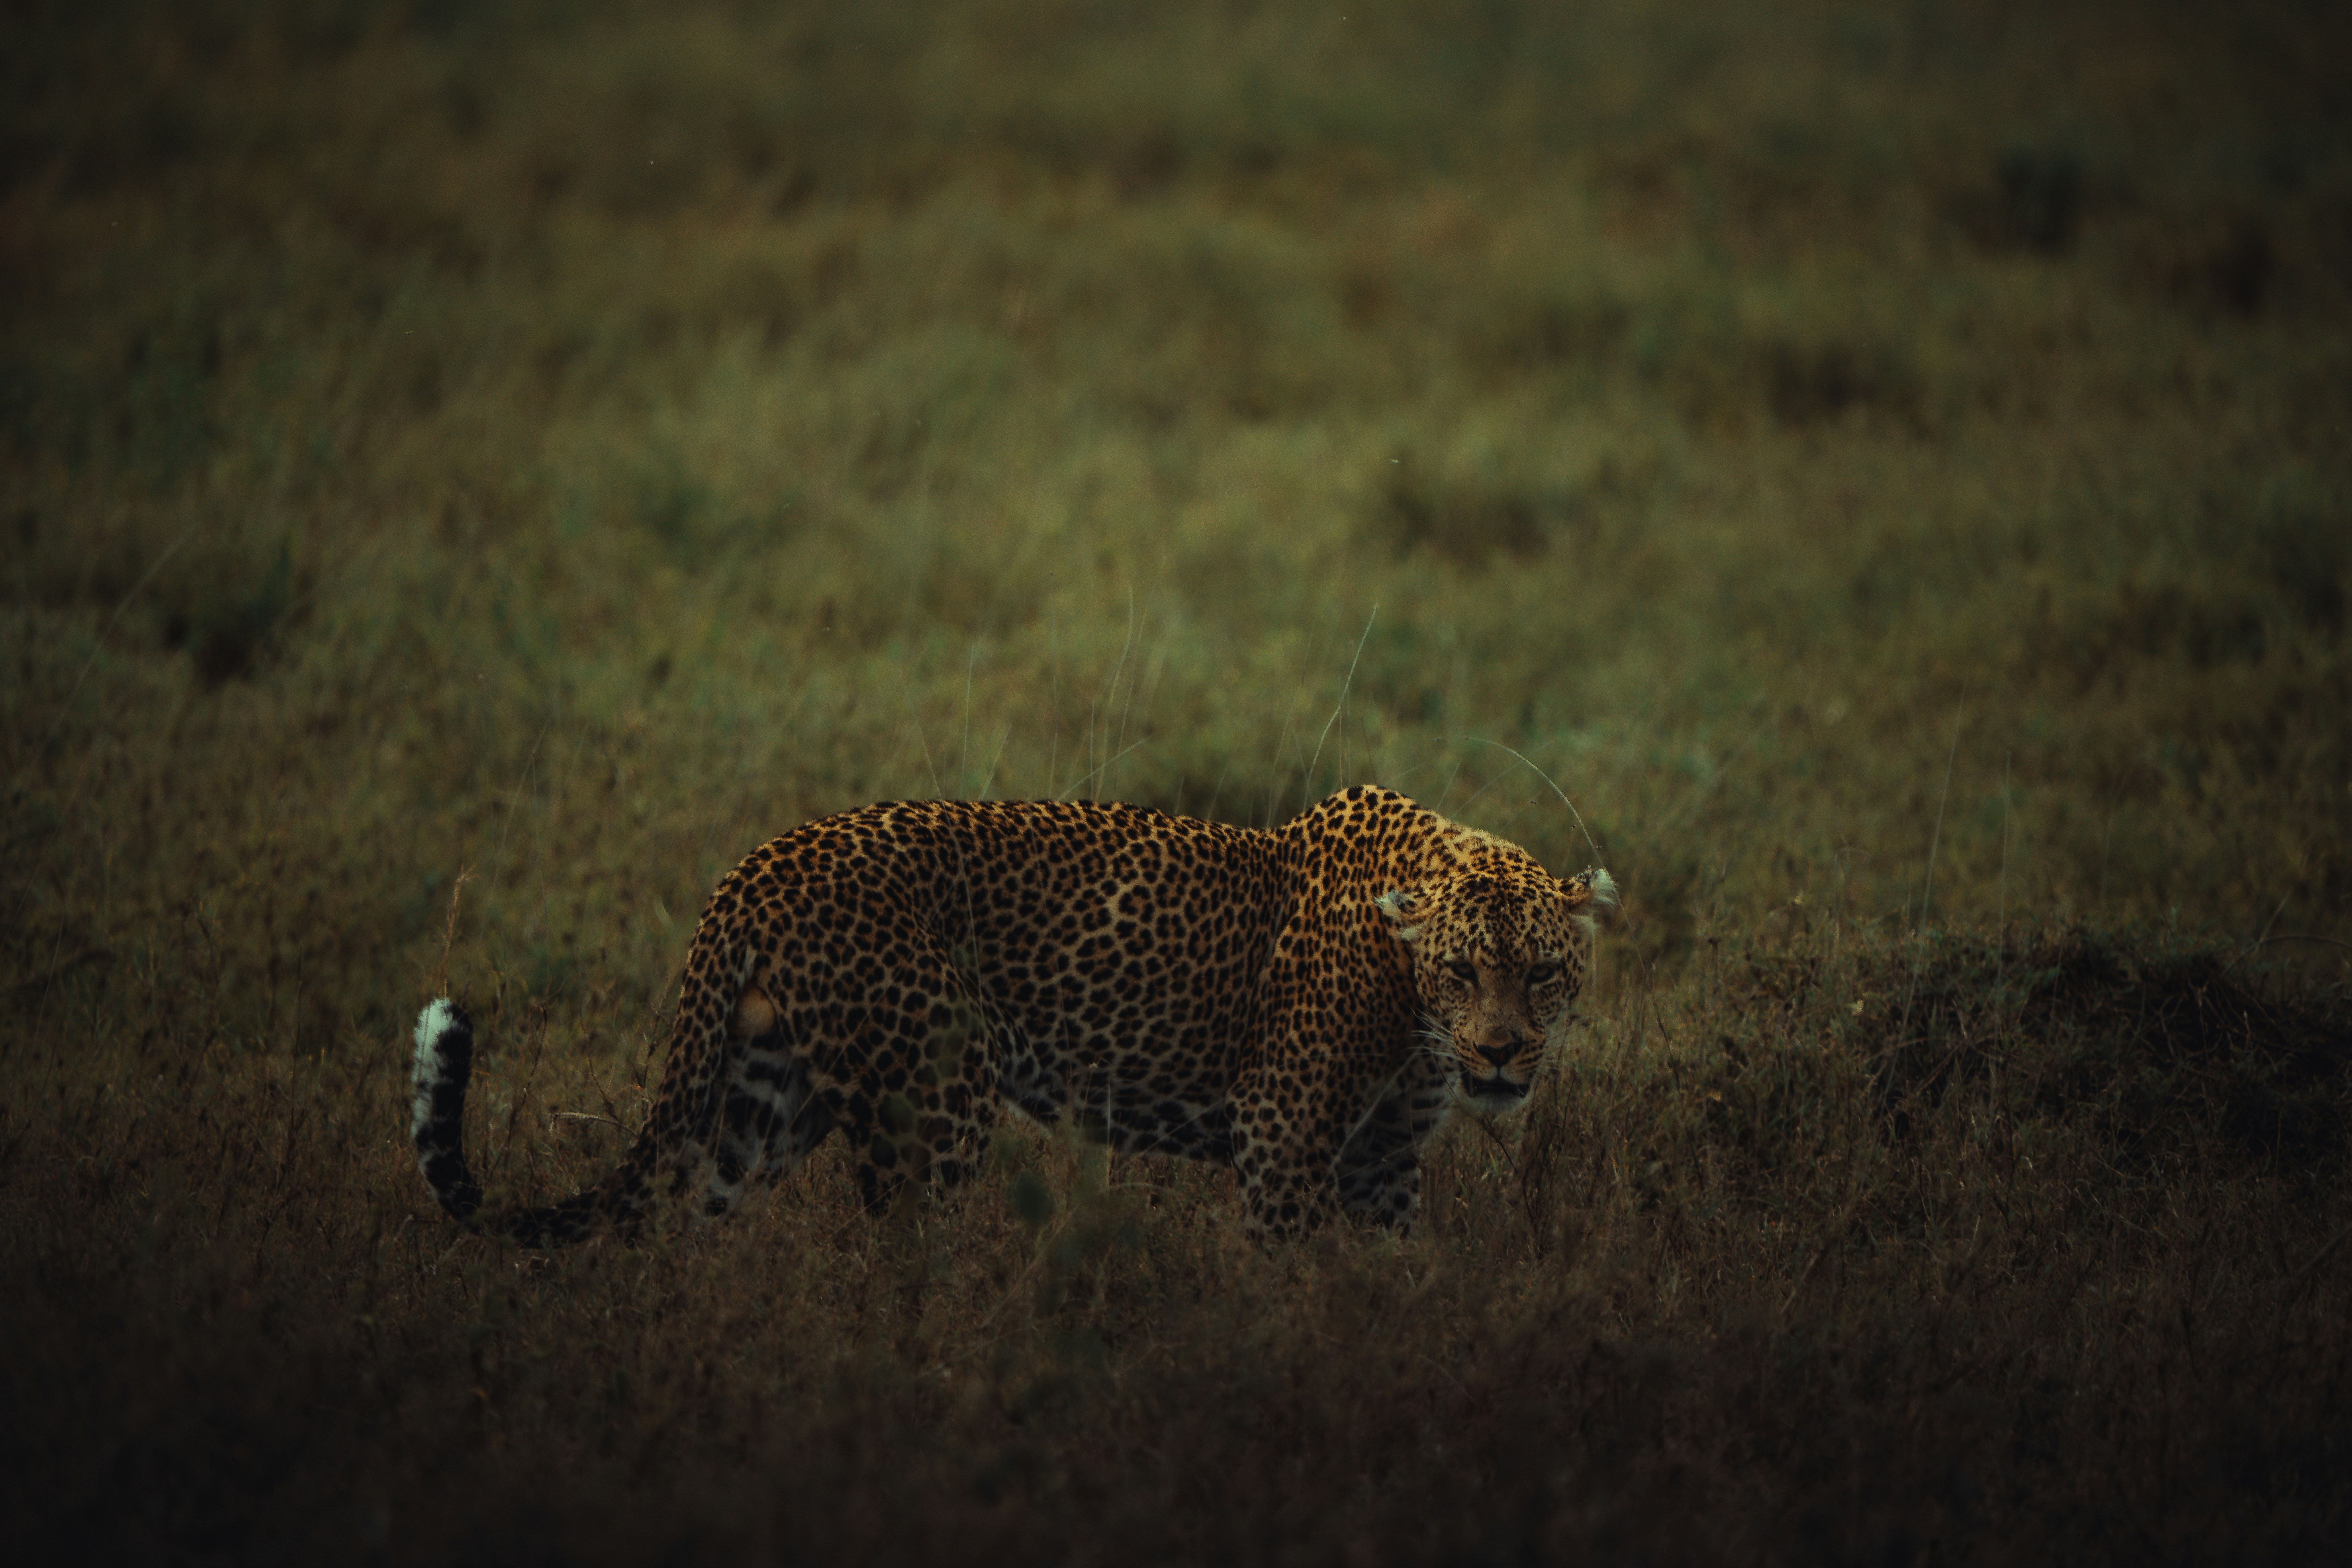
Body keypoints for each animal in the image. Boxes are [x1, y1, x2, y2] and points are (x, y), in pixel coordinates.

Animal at [409, 784, 1614, 1244]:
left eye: (1542, 975)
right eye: (1462, 972)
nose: (1501, 1052)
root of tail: (759, 864)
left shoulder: (1379, 1166)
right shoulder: (1282, 1140)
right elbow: (1299, 1276)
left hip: (762, 1103)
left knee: (676, 1225)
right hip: (938, 1099)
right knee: (903, 1260)